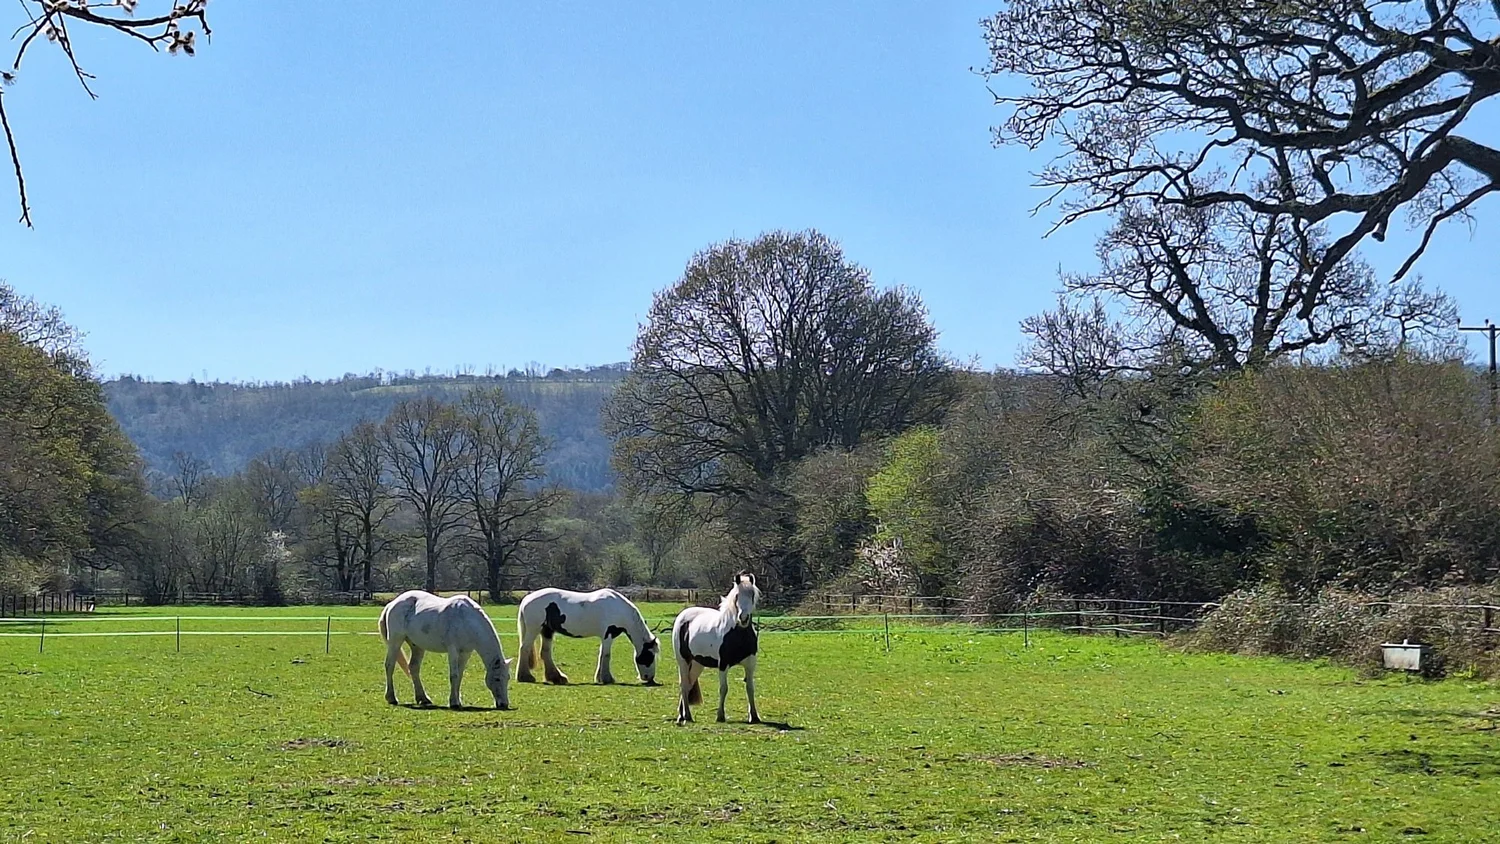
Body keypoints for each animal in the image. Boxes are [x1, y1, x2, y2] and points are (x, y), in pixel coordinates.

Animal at [377, 590, 513, 709]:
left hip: (417, 647)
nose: (504, 704)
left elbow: (460, 675)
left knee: (413, 668)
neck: (466, 619)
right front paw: (454, 703)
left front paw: (457, 700)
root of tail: (392, 604)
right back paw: (391, 698)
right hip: (395, 642)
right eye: (497, 678)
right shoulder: (453, 650)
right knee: (389, 666)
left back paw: (423, 698)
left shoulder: (465, 653)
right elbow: (454, 675)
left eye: (507, 678)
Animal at [515, 587, 661, 685]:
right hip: (534, 629)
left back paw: (557, 678)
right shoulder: (608, 634)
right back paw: (525, 677)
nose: (649, 678)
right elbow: (606, 655)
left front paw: (600, 678)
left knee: (545, 652)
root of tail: (526, 599)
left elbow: (601, 654)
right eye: (649, 656)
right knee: (524, 649)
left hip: (547, 630)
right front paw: (607, 679)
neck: (618, 609)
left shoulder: (605, 637)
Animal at [671, 572, 762, 724]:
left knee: (688, 684)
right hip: (683, 661)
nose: (743, 618)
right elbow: (723, 688)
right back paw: (686, 716)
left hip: (697, 664)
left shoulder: (750, 665)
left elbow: (750, 688)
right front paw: (720, 715)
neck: (737, 633)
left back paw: (682, 714)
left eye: (752, 595)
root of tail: (683, 616)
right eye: (737, 595)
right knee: (683, 685)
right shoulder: (723, 665)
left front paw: (754, 716)